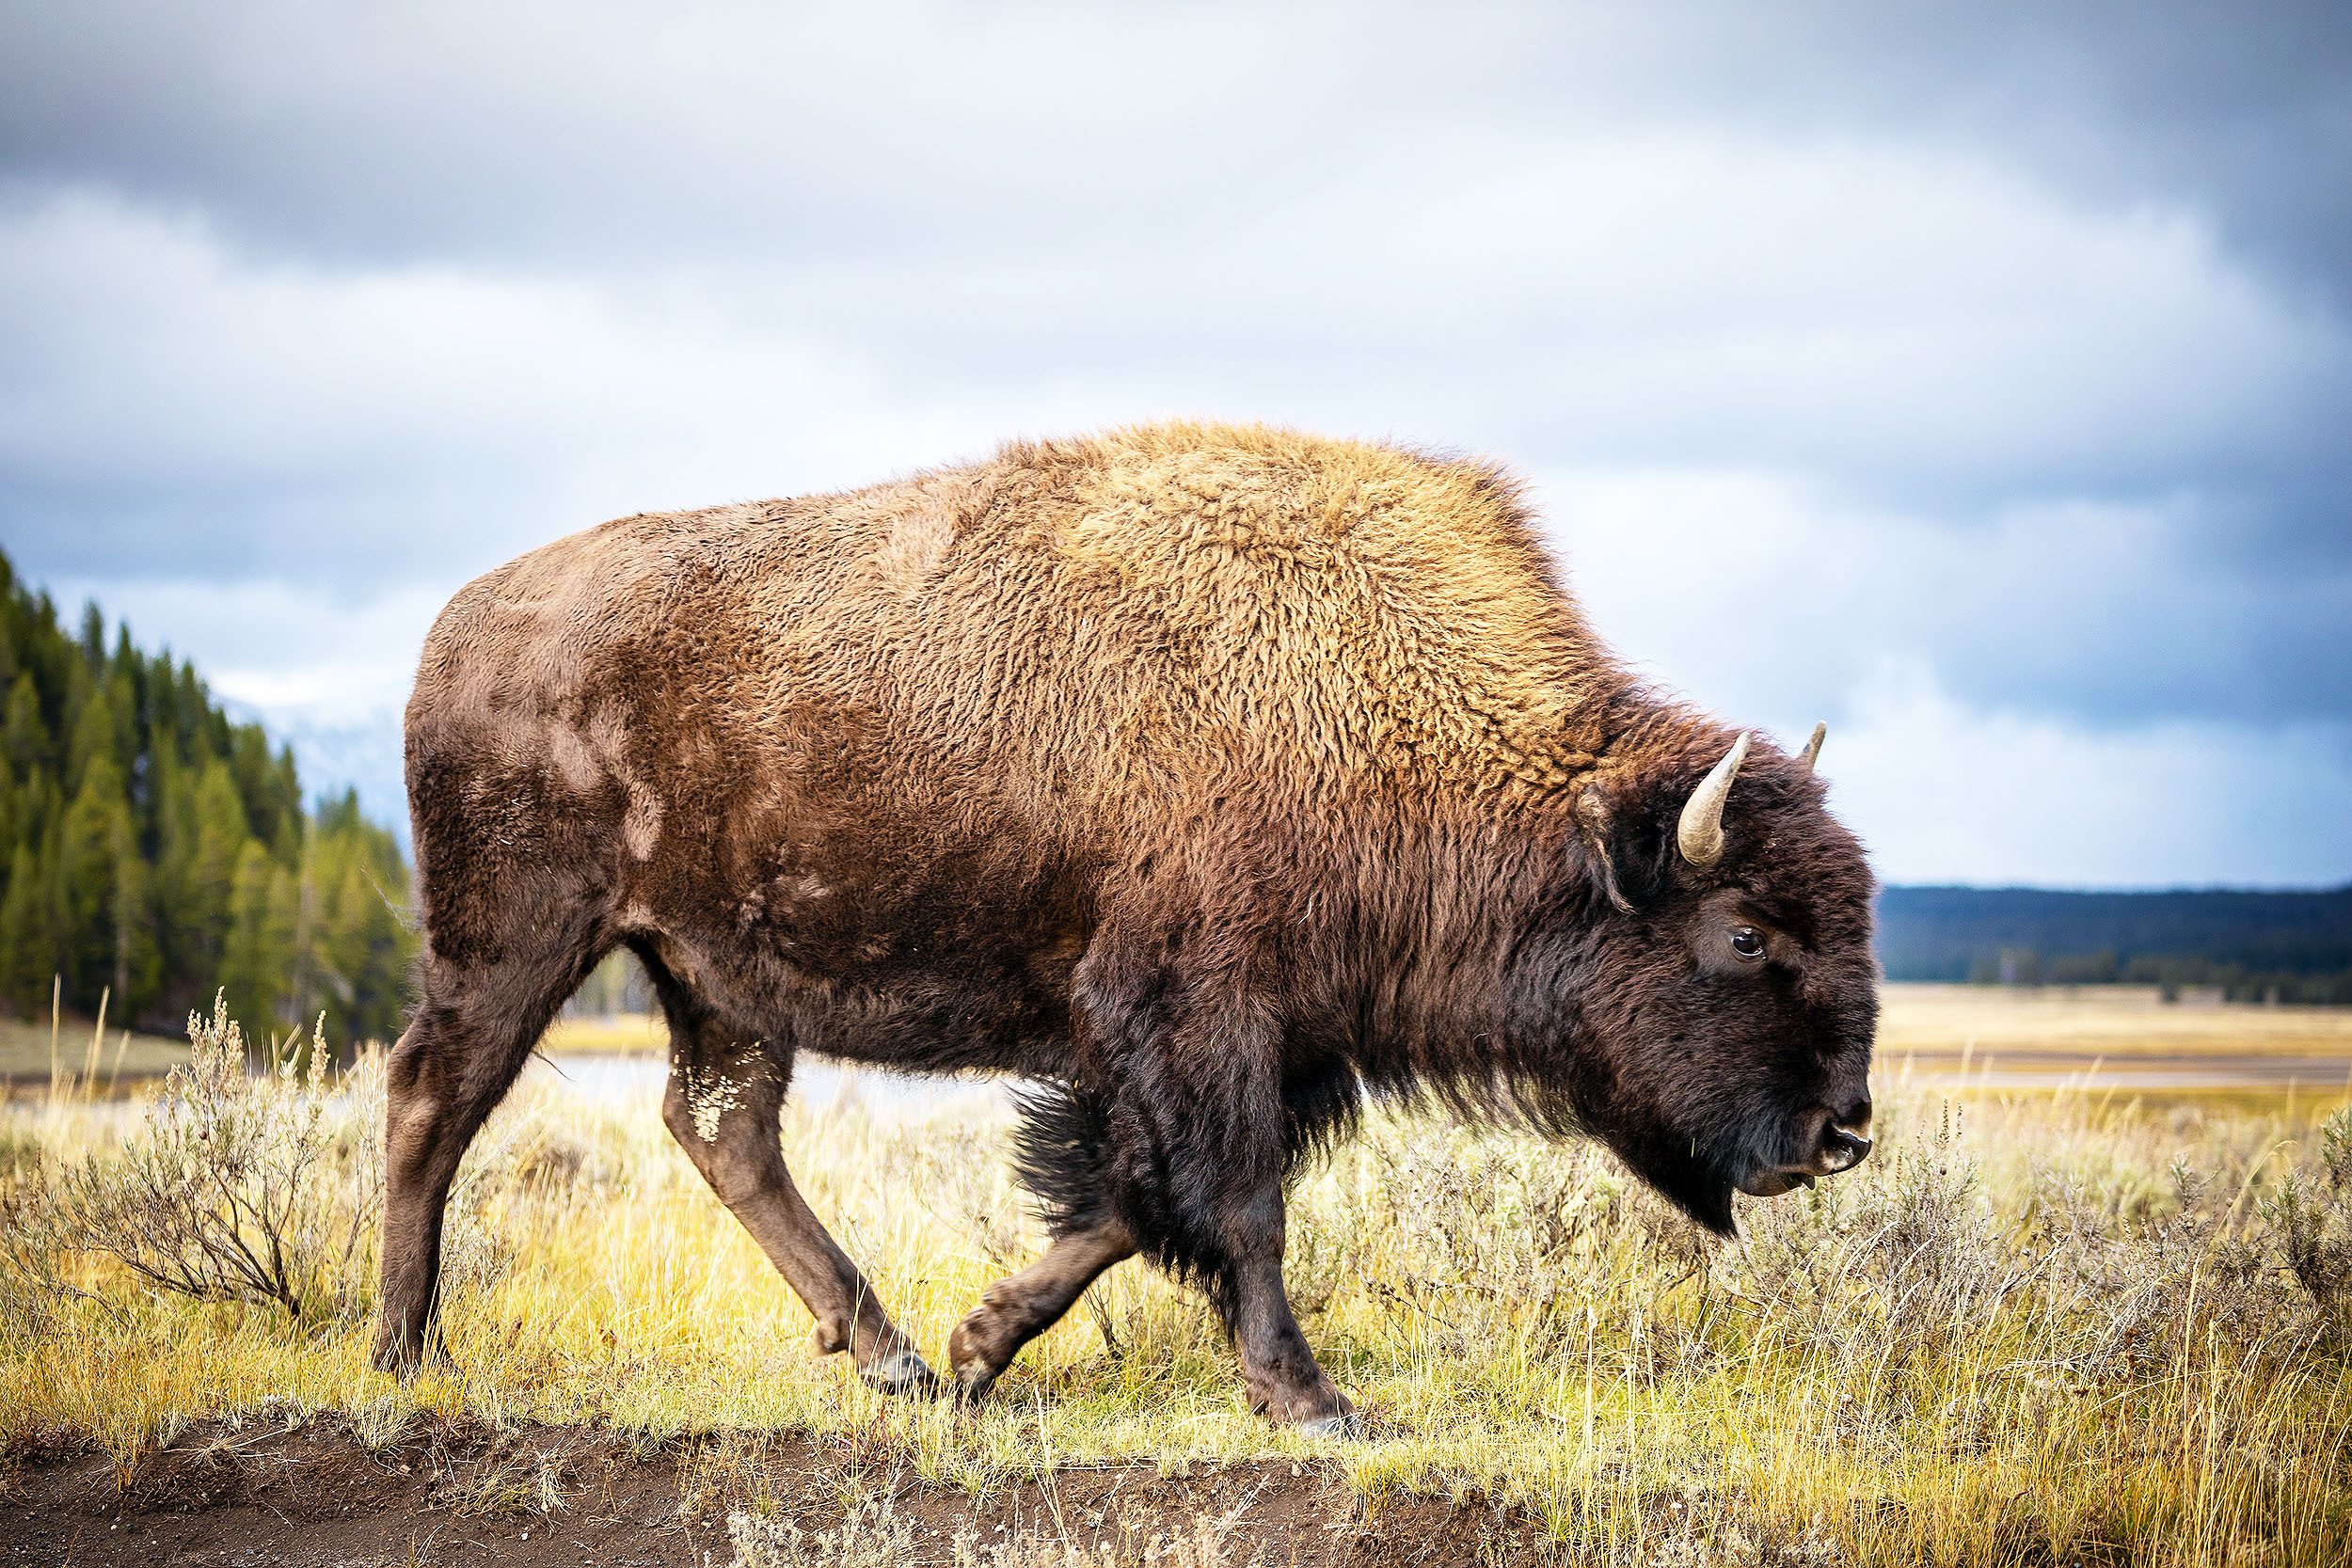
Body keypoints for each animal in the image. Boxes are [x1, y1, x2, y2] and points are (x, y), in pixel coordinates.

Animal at [372, 422, 1877, 1433]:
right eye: (1744, 934)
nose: (1843, 1130)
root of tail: (456, 628)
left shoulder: (1261, 1039)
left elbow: (1128, 1200)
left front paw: (977, 1348)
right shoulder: (1200, 1012)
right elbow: (1233, 1204)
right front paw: (1310, 1400)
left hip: (712, 976)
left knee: (721, 1128)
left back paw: (889, 1353)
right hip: (515, 935)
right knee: (433, 1100)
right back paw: (403, 1350)